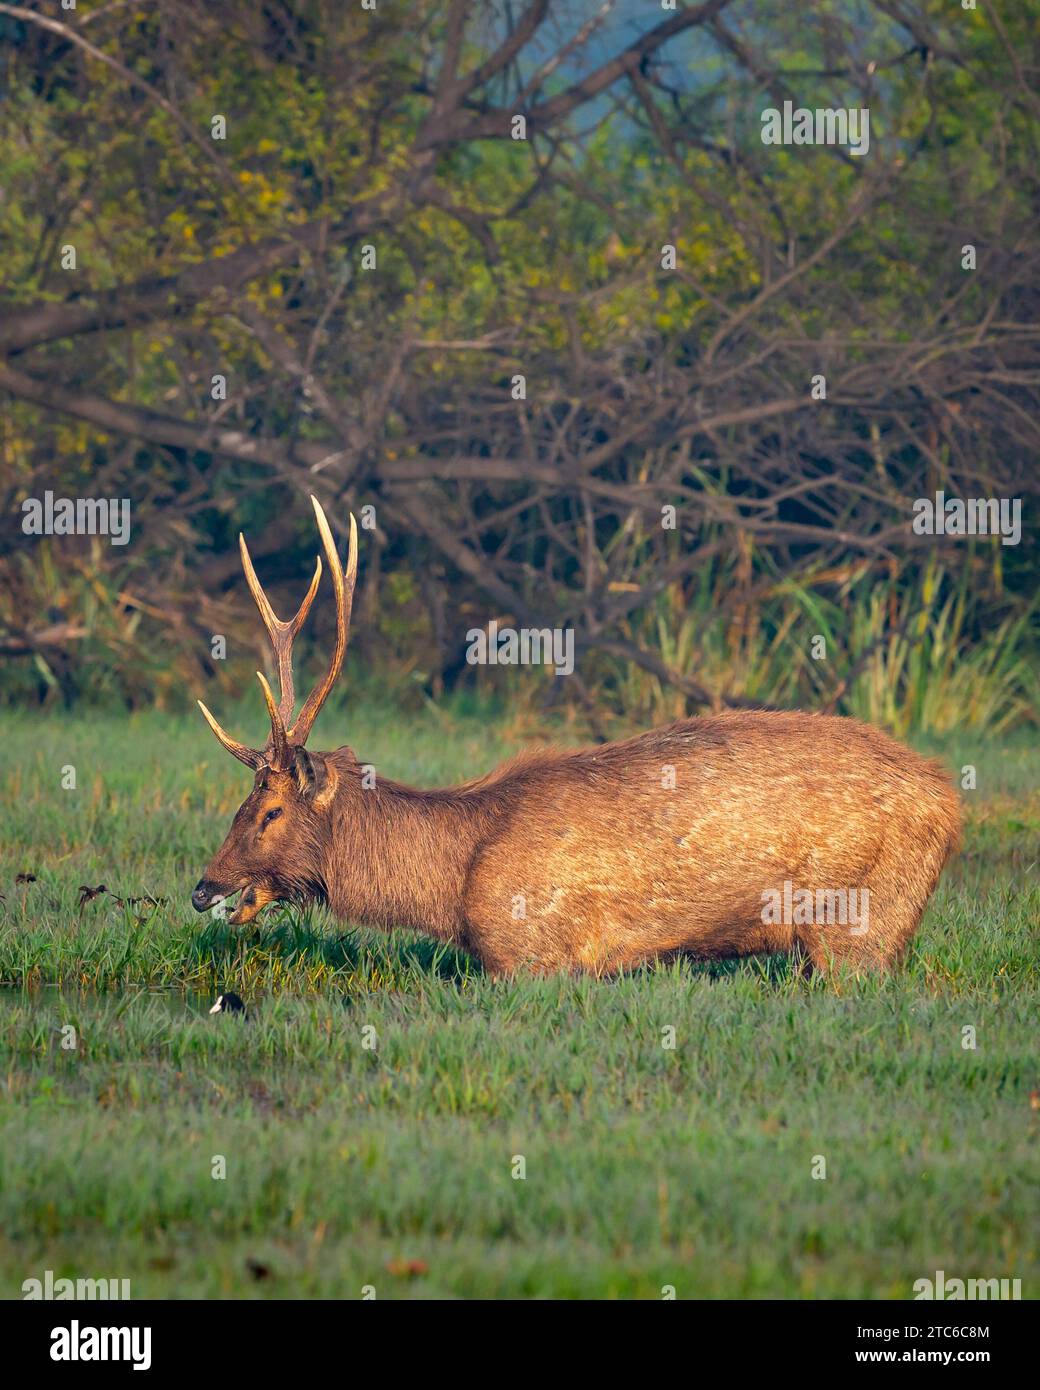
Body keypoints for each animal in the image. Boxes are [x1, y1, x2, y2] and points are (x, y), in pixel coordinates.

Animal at [192, 497, 962, 977]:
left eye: (270, 810)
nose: (203, 889)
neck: (452, 886)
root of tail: (949, 798)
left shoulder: (531, 954)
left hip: (858, 923)